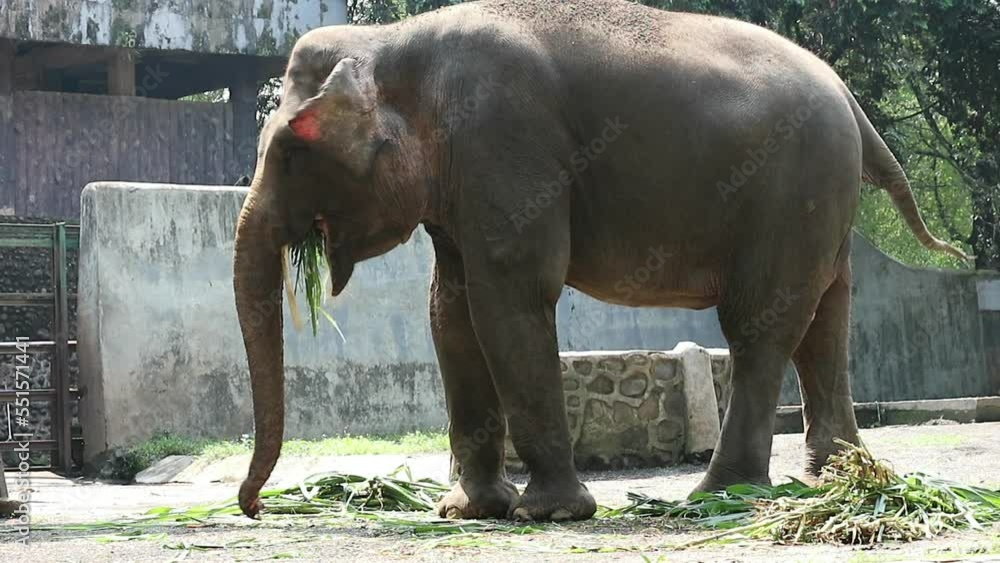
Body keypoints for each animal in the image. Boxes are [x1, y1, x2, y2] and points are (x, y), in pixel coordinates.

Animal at [232, 0, 968, 522]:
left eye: (289, 151)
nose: (258, 505)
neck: (398, 39)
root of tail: (853, 102)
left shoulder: (505, 139)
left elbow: (510, 298)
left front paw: (550, 513)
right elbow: (450, 311)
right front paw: (467, 511)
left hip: (791, 189)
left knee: (760, 325)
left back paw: (718, 494)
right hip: (823, 200)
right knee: (826, 319)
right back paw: (840, 479)